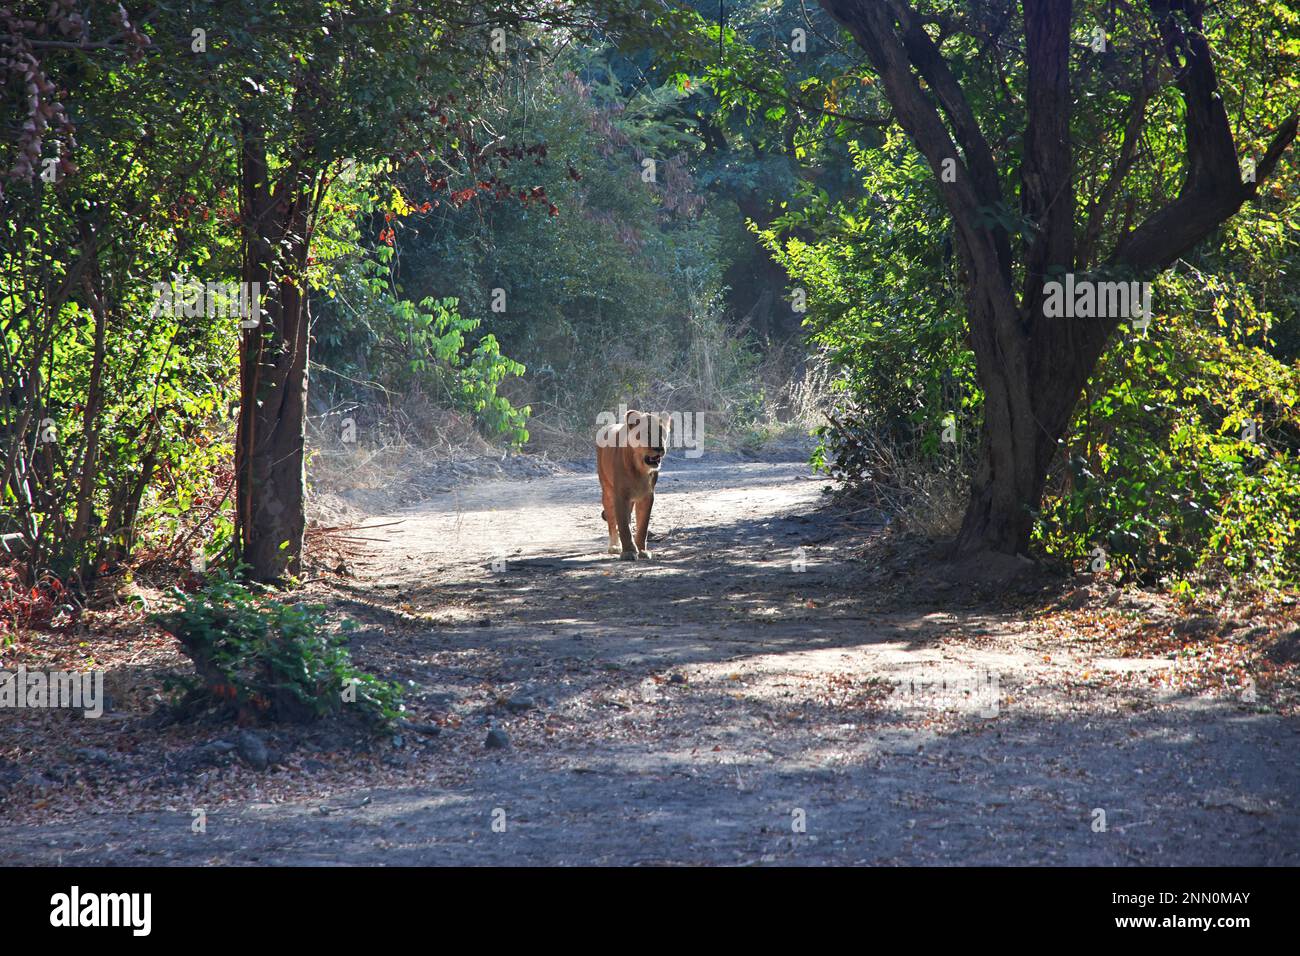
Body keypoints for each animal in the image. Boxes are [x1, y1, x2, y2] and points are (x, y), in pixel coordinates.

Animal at [596, 409, 671, 560]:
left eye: (662, 433)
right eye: (647, 433)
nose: (659, 448)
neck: (640, 469)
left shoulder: (647, 496)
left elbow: (643, 526)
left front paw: (642, 550)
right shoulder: (620, 495)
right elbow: (624, 525)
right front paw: (629, 552)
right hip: (607, 489)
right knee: (612, 519)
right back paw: (614, 546)